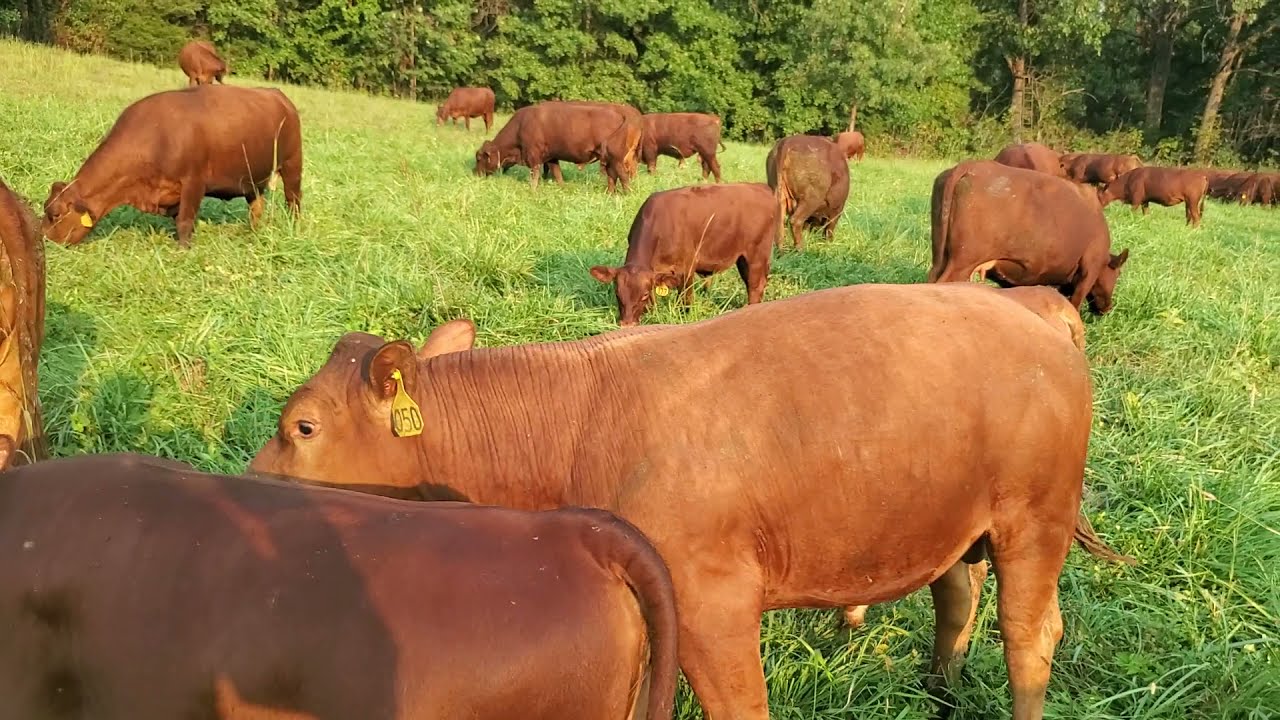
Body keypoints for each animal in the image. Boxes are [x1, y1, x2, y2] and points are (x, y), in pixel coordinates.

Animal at [42, 85, 302, 249]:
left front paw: (183, 252)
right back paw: (253, 233)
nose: (43, 240)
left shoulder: (194, 182)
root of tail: (276, 94)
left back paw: (294, 227)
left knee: (294, 201)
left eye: (55, 215)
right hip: (252, 179)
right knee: (256, 208)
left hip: (292, 165)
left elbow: (185, 221)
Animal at [250, 281, 1135, 720]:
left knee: (1030, 637)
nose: (250, 489)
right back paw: (938, 692)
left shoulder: (713, 602)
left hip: (1036, 519)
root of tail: (1040, 312)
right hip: (958, 515)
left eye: (301, 426)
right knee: (958, 593)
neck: (574, 420)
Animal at [473, 101, 642, 192]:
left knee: (623, 176)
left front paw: (533, 190)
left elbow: (535, 175)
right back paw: (610, 193)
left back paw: (626, 193)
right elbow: (557, 174)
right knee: (612, 176)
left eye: (479, 158)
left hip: (616, 159)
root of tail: (621, 115)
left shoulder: (534, 157)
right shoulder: (552, 158)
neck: (521, 126)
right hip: (609, 159)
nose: (475, 173)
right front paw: (562, 187)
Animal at [589, 183, 778, 326]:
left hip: (756, 255)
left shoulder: (687, 268)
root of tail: (761, 187)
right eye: (617, 293)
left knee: (755, 286)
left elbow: (685, 299)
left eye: (643, 295)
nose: (626, 324)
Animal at [928, 160, 1130, 314]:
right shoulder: (1089, 269)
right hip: (963, 263)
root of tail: (971, 166)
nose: (1108, 307)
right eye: (1118, 274)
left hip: (941, 257)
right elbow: (1075, 302)